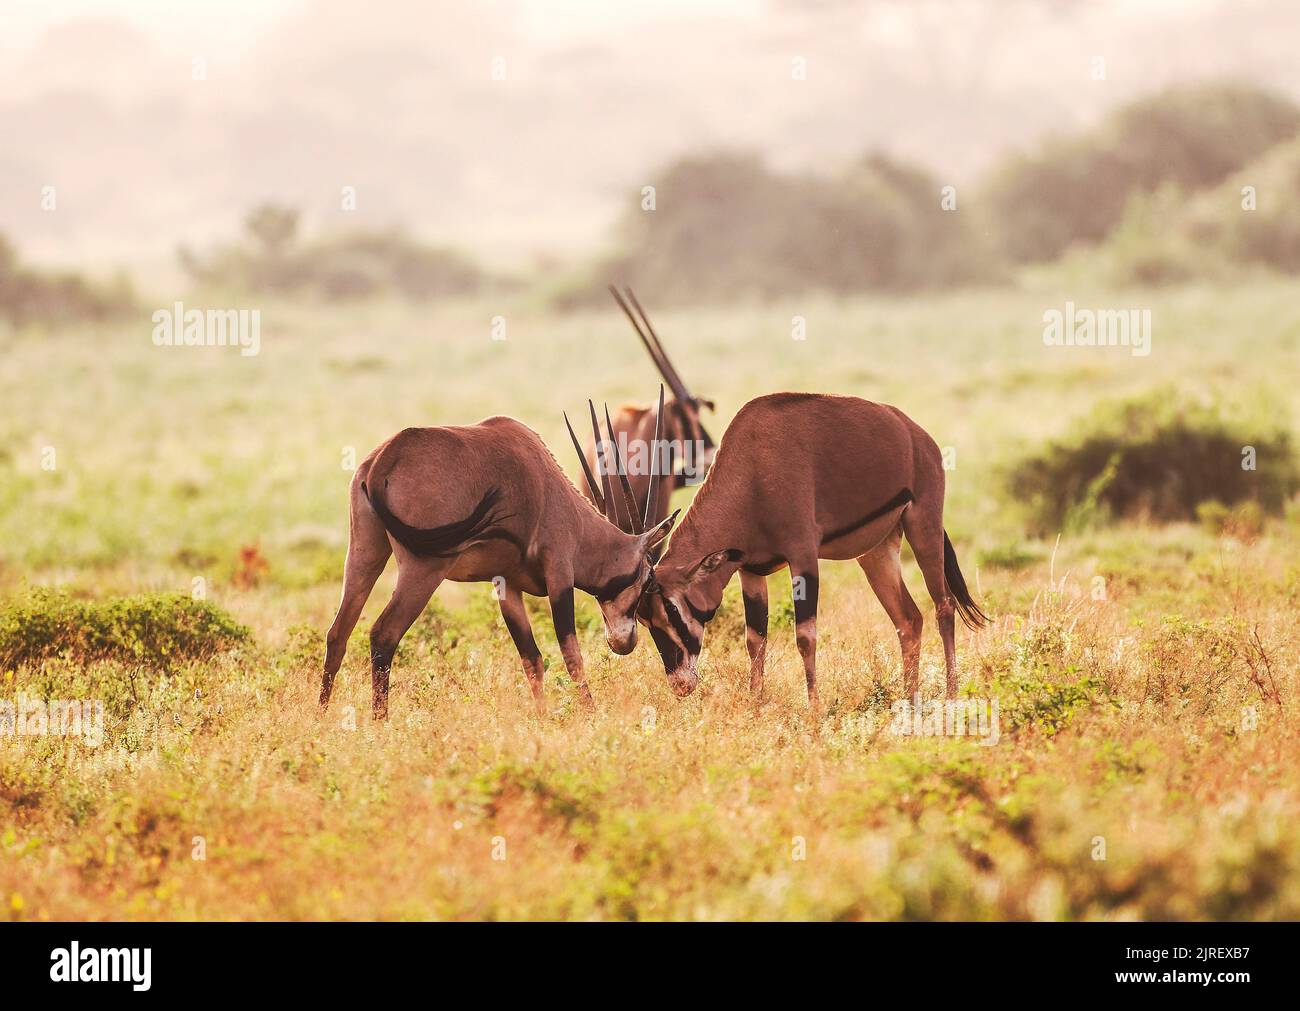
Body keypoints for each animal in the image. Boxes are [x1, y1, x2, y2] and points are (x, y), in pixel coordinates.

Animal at [320, 399, 676, 718]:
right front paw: (590, 713)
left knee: (338, 633)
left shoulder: (507, 585)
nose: (624, 642)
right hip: (424, 568)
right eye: (649, 580)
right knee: (384, 633)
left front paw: (544, 718)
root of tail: (383, 459)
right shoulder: (559, 573)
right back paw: (381, 722)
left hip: (365, 553)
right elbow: (570, 651)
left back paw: (321, 717)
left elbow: (531, 658)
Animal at [636, 392, 987, 708]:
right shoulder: (750, 571)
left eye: (671, 609)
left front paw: (813, 712)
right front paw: (755, 706)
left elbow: (805, 637)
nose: (680, 684)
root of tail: (917, 435)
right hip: (876, 553)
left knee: (944, 607)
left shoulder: (803, 558)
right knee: (909, 619)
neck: (752, 468)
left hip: (923, 526)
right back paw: (909, 701)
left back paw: (951, 696)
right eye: (643, 618)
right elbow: (755, 639)